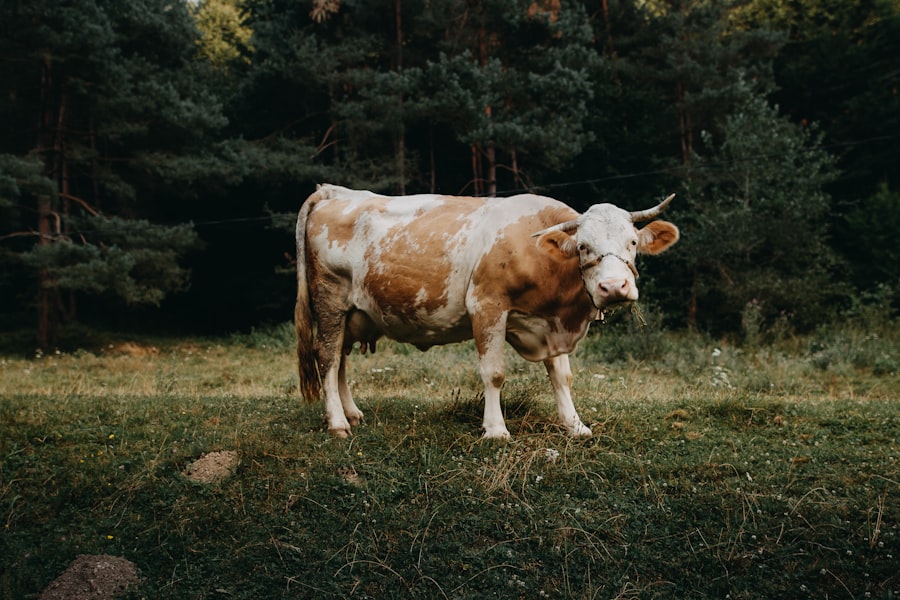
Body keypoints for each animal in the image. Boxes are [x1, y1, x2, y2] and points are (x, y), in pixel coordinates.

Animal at [295, 184, 679, 439]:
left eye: (632, 242)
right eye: (584, 246)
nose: (614, 288)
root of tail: (334, 191)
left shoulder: (549, 319)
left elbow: (562, 376)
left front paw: (575, 425)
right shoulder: (487, 305)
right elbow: (494, 373)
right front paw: (495, 430)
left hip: (351, 314)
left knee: (340, 361)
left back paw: (352, 413)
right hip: (330, 300)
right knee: (327, 357)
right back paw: (337, 423)